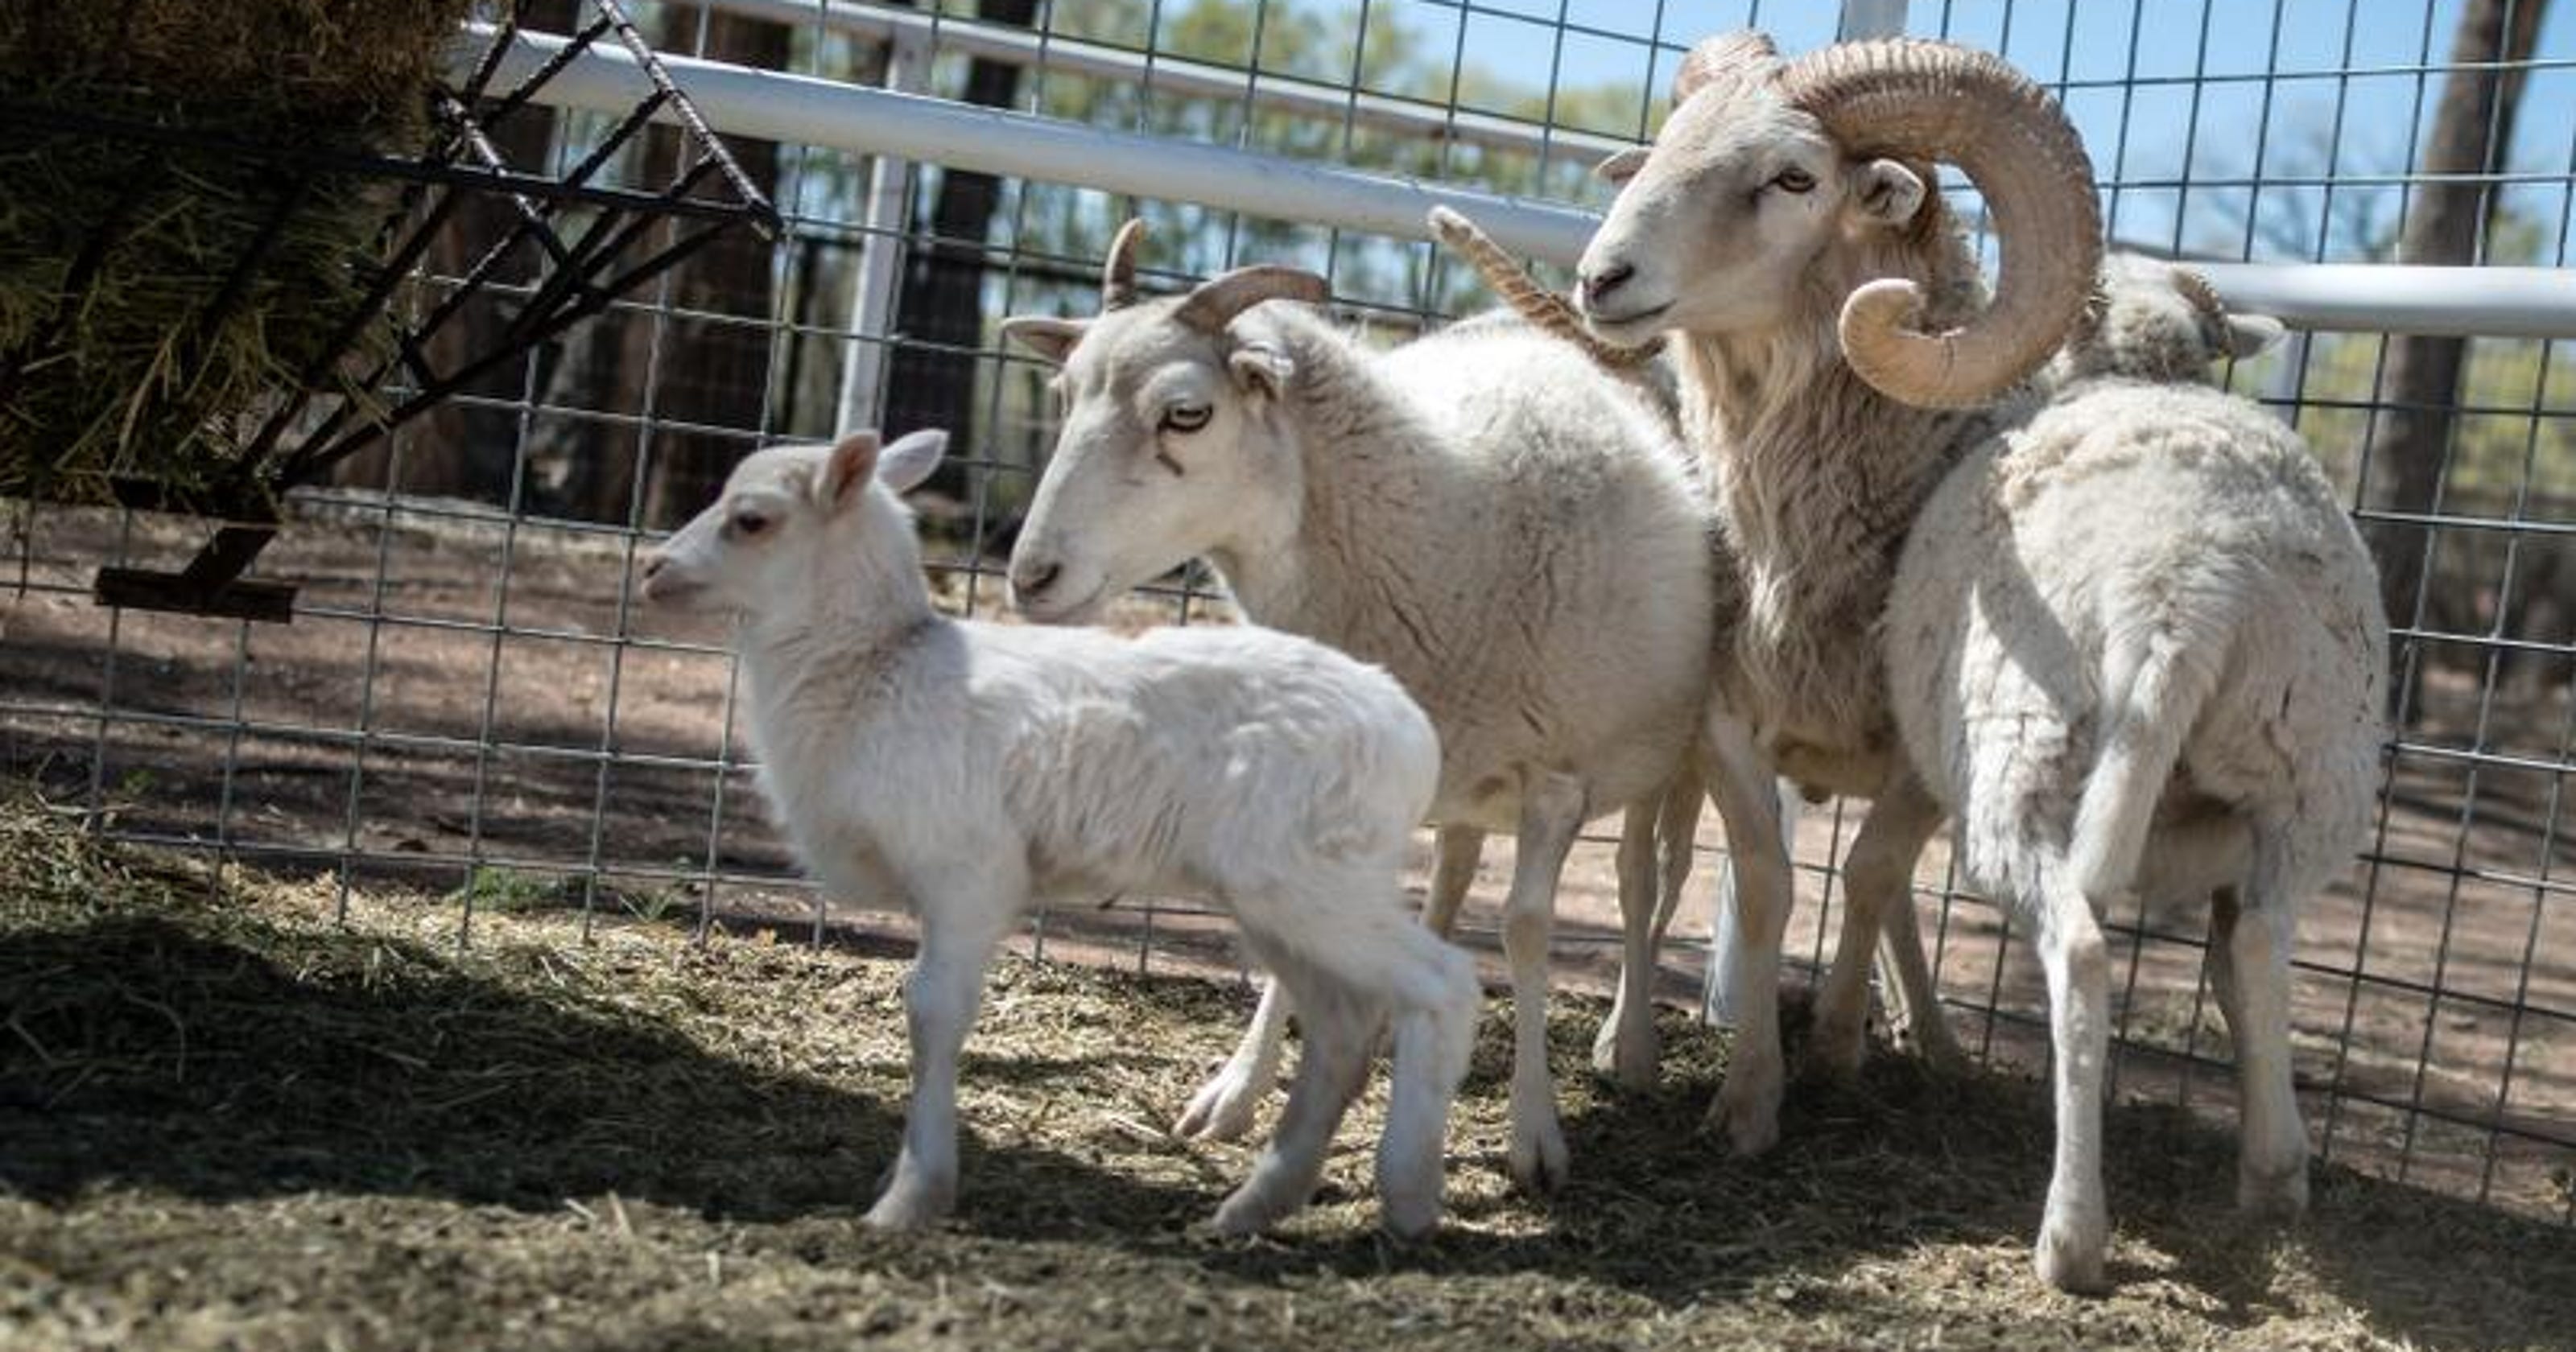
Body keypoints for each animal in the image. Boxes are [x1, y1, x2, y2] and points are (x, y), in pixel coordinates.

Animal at [638, 427, 1482, 1239]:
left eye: (752, 520)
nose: (652, 569)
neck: (875, 672)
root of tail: (1412, 733)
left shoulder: (969, 871)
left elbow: (931, 1011)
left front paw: (911, 1198)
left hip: (1316, 879)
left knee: (1446, 983)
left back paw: (1409, 1197)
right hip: (1280, 894)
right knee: (1341, 1029)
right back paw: (1250, 1208)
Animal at [997, 222, 1721, 1194]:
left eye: (1187, 414)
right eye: (1065, 396)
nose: (1031, 575)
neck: (1434, 528)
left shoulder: (1557, 780)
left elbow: (1528, 931)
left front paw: (1533, 1131)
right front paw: (1238, 1093)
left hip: (1659, 751)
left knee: (1644, 877)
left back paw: (1629, 1041)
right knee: (1453, 866)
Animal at [1571, 32, 2388, 1290]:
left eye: (1794, 178)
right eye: (1662, 149)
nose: (1601, 279)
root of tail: (2195, 586)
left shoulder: (1919, 749)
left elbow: (1860, 878)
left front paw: (1812, 1062)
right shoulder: (1726, 723)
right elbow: (1765, 884)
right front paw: (1760, 1079)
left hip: (2025, 764)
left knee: (2080, 942)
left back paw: (2064, 1220)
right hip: (2301, 789)